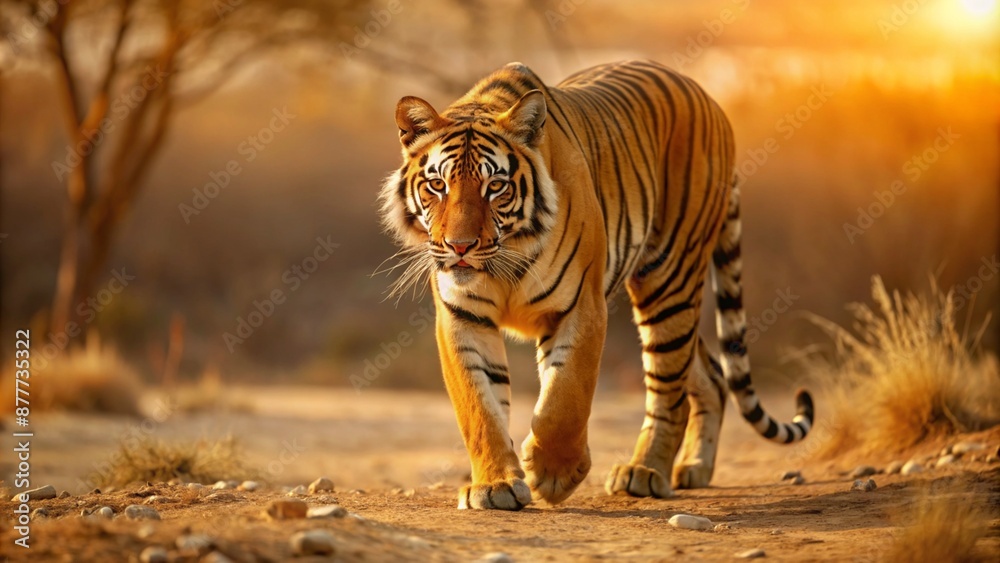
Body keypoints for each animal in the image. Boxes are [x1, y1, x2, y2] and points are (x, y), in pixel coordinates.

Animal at [378, 60, 813, 510]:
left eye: (495, 186)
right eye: (438, 185)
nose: (459, 246)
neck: (504, 258)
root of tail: (711, 101)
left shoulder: (580, 306)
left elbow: (565, 396)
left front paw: (554, 474)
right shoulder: (462, 316)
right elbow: (479, 407)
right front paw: (495, 485)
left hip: (669, 279)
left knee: (668, 386)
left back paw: (644, 473)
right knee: (710, 374)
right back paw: (694, 468)